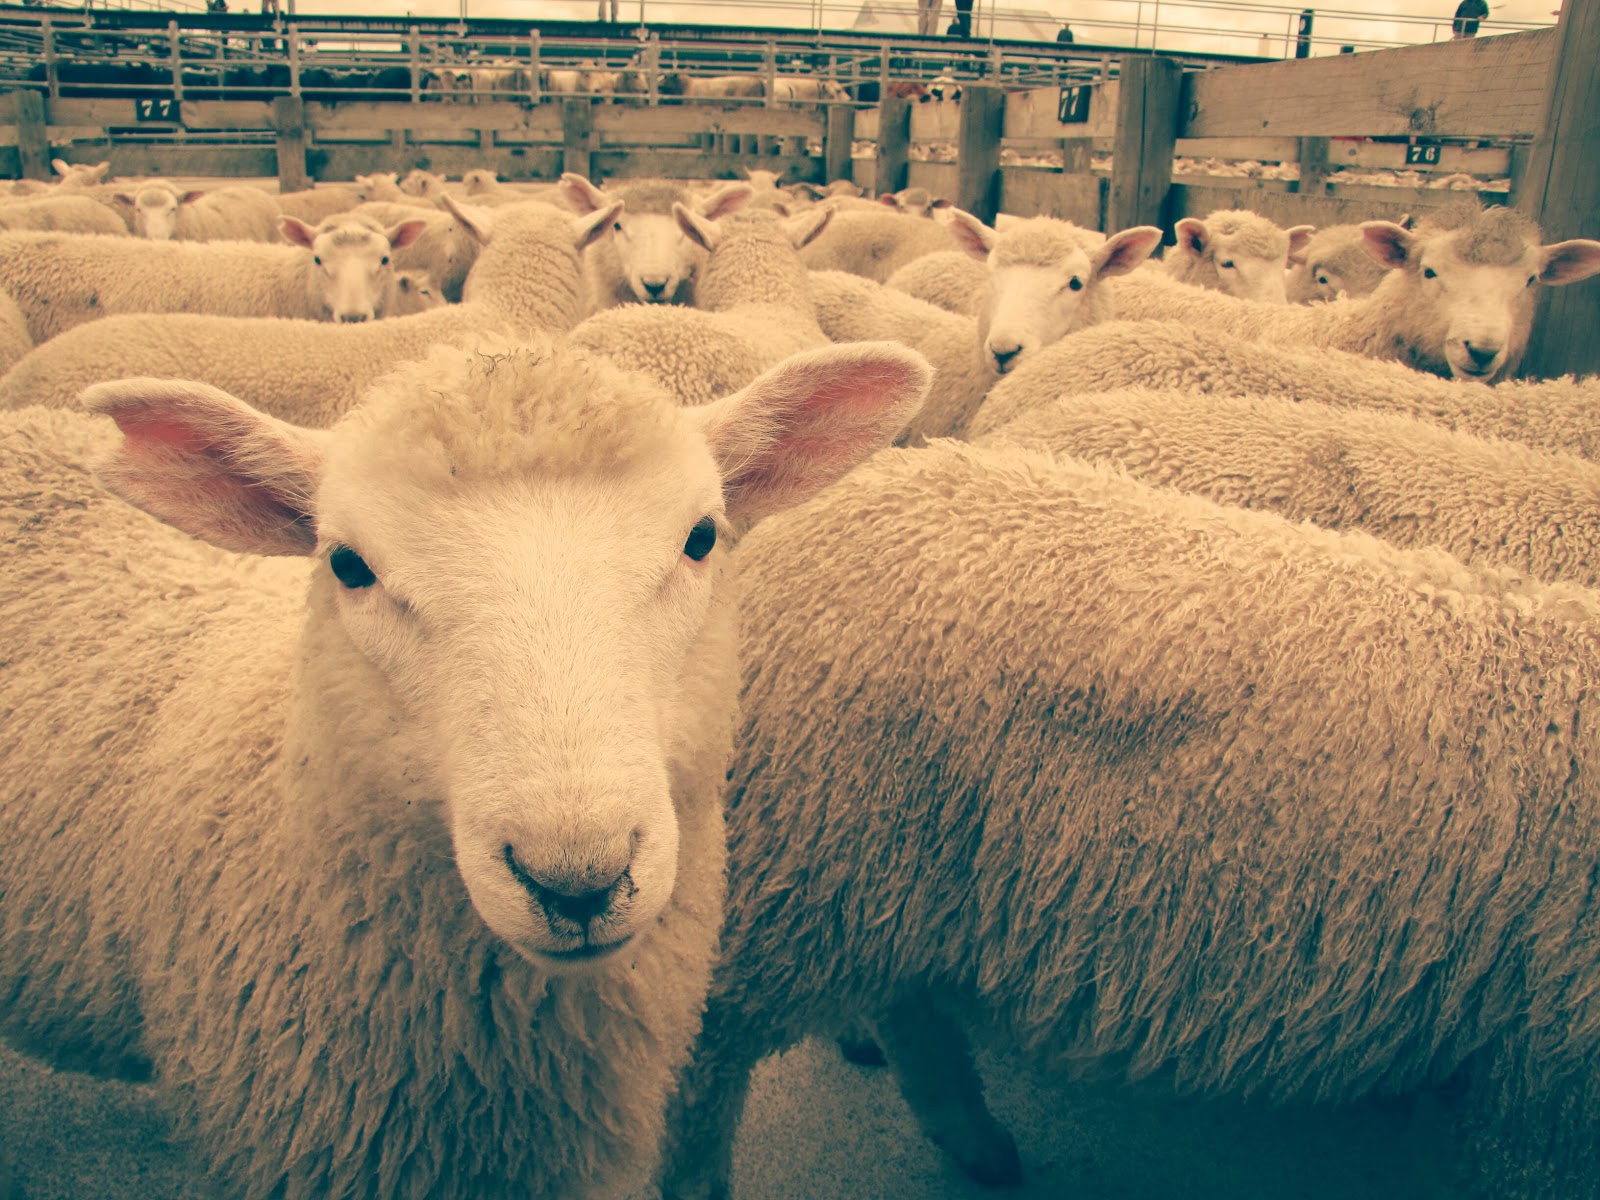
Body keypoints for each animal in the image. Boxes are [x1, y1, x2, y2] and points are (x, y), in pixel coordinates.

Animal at [661, 435, 1600, 1200]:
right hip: (808, 852)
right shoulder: (1546, 1082)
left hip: (881, 862)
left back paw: (978, 1142)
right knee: (701, 1057)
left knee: (909, 1007)